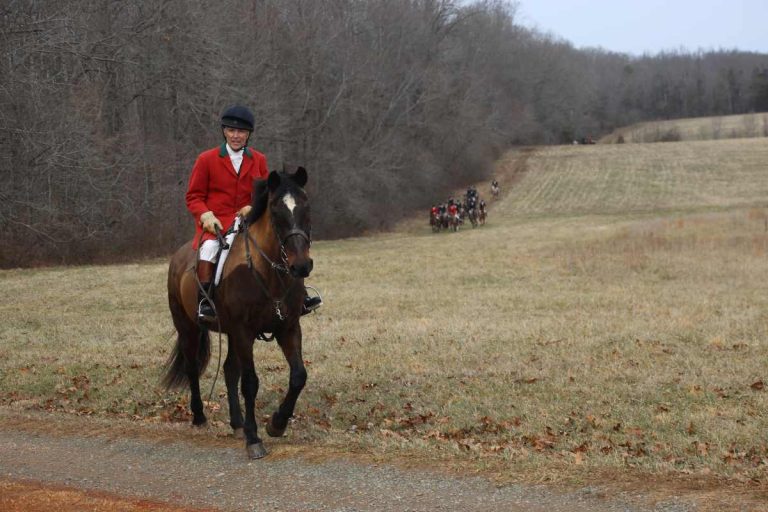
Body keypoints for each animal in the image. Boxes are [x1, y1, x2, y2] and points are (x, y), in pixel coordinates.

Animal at [163, 168, 313, 460]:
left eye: (306, 206)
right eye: (276, 211)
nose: (301, 265)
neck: (269, 272)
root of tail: (179, 255)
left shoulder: (287, 327)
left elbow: (298, 376)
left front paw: (276, 424)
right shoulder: (245, 332)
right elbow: (250, 383)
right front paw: (254, 438)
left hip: (230, 333)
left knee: (229, 370)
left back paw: (237, 423)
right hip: (188, 327)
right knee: (192, 368)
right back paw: (199, 417)